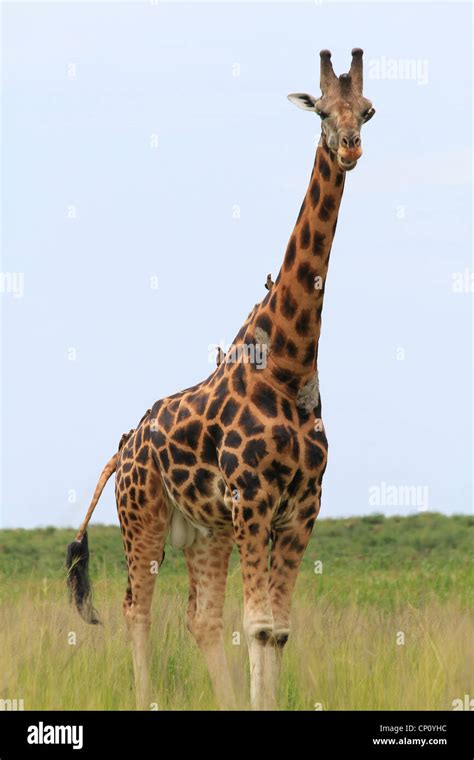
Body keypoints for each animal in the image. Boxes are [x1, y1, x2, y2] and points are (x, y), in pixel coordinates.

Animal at [66, 48, 375, 711]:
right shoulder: (254, 500)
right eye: (321, 110)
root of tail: (122, 448)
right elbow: (257, 626)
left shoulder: (301, 508)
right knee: (136, 610)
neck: (290, 363)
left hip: (205, 530)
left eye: (366, 109)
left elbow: (275, 630)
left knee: (200, 618)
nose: (350, 147)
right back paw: (145, 699)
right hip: (143, 517)